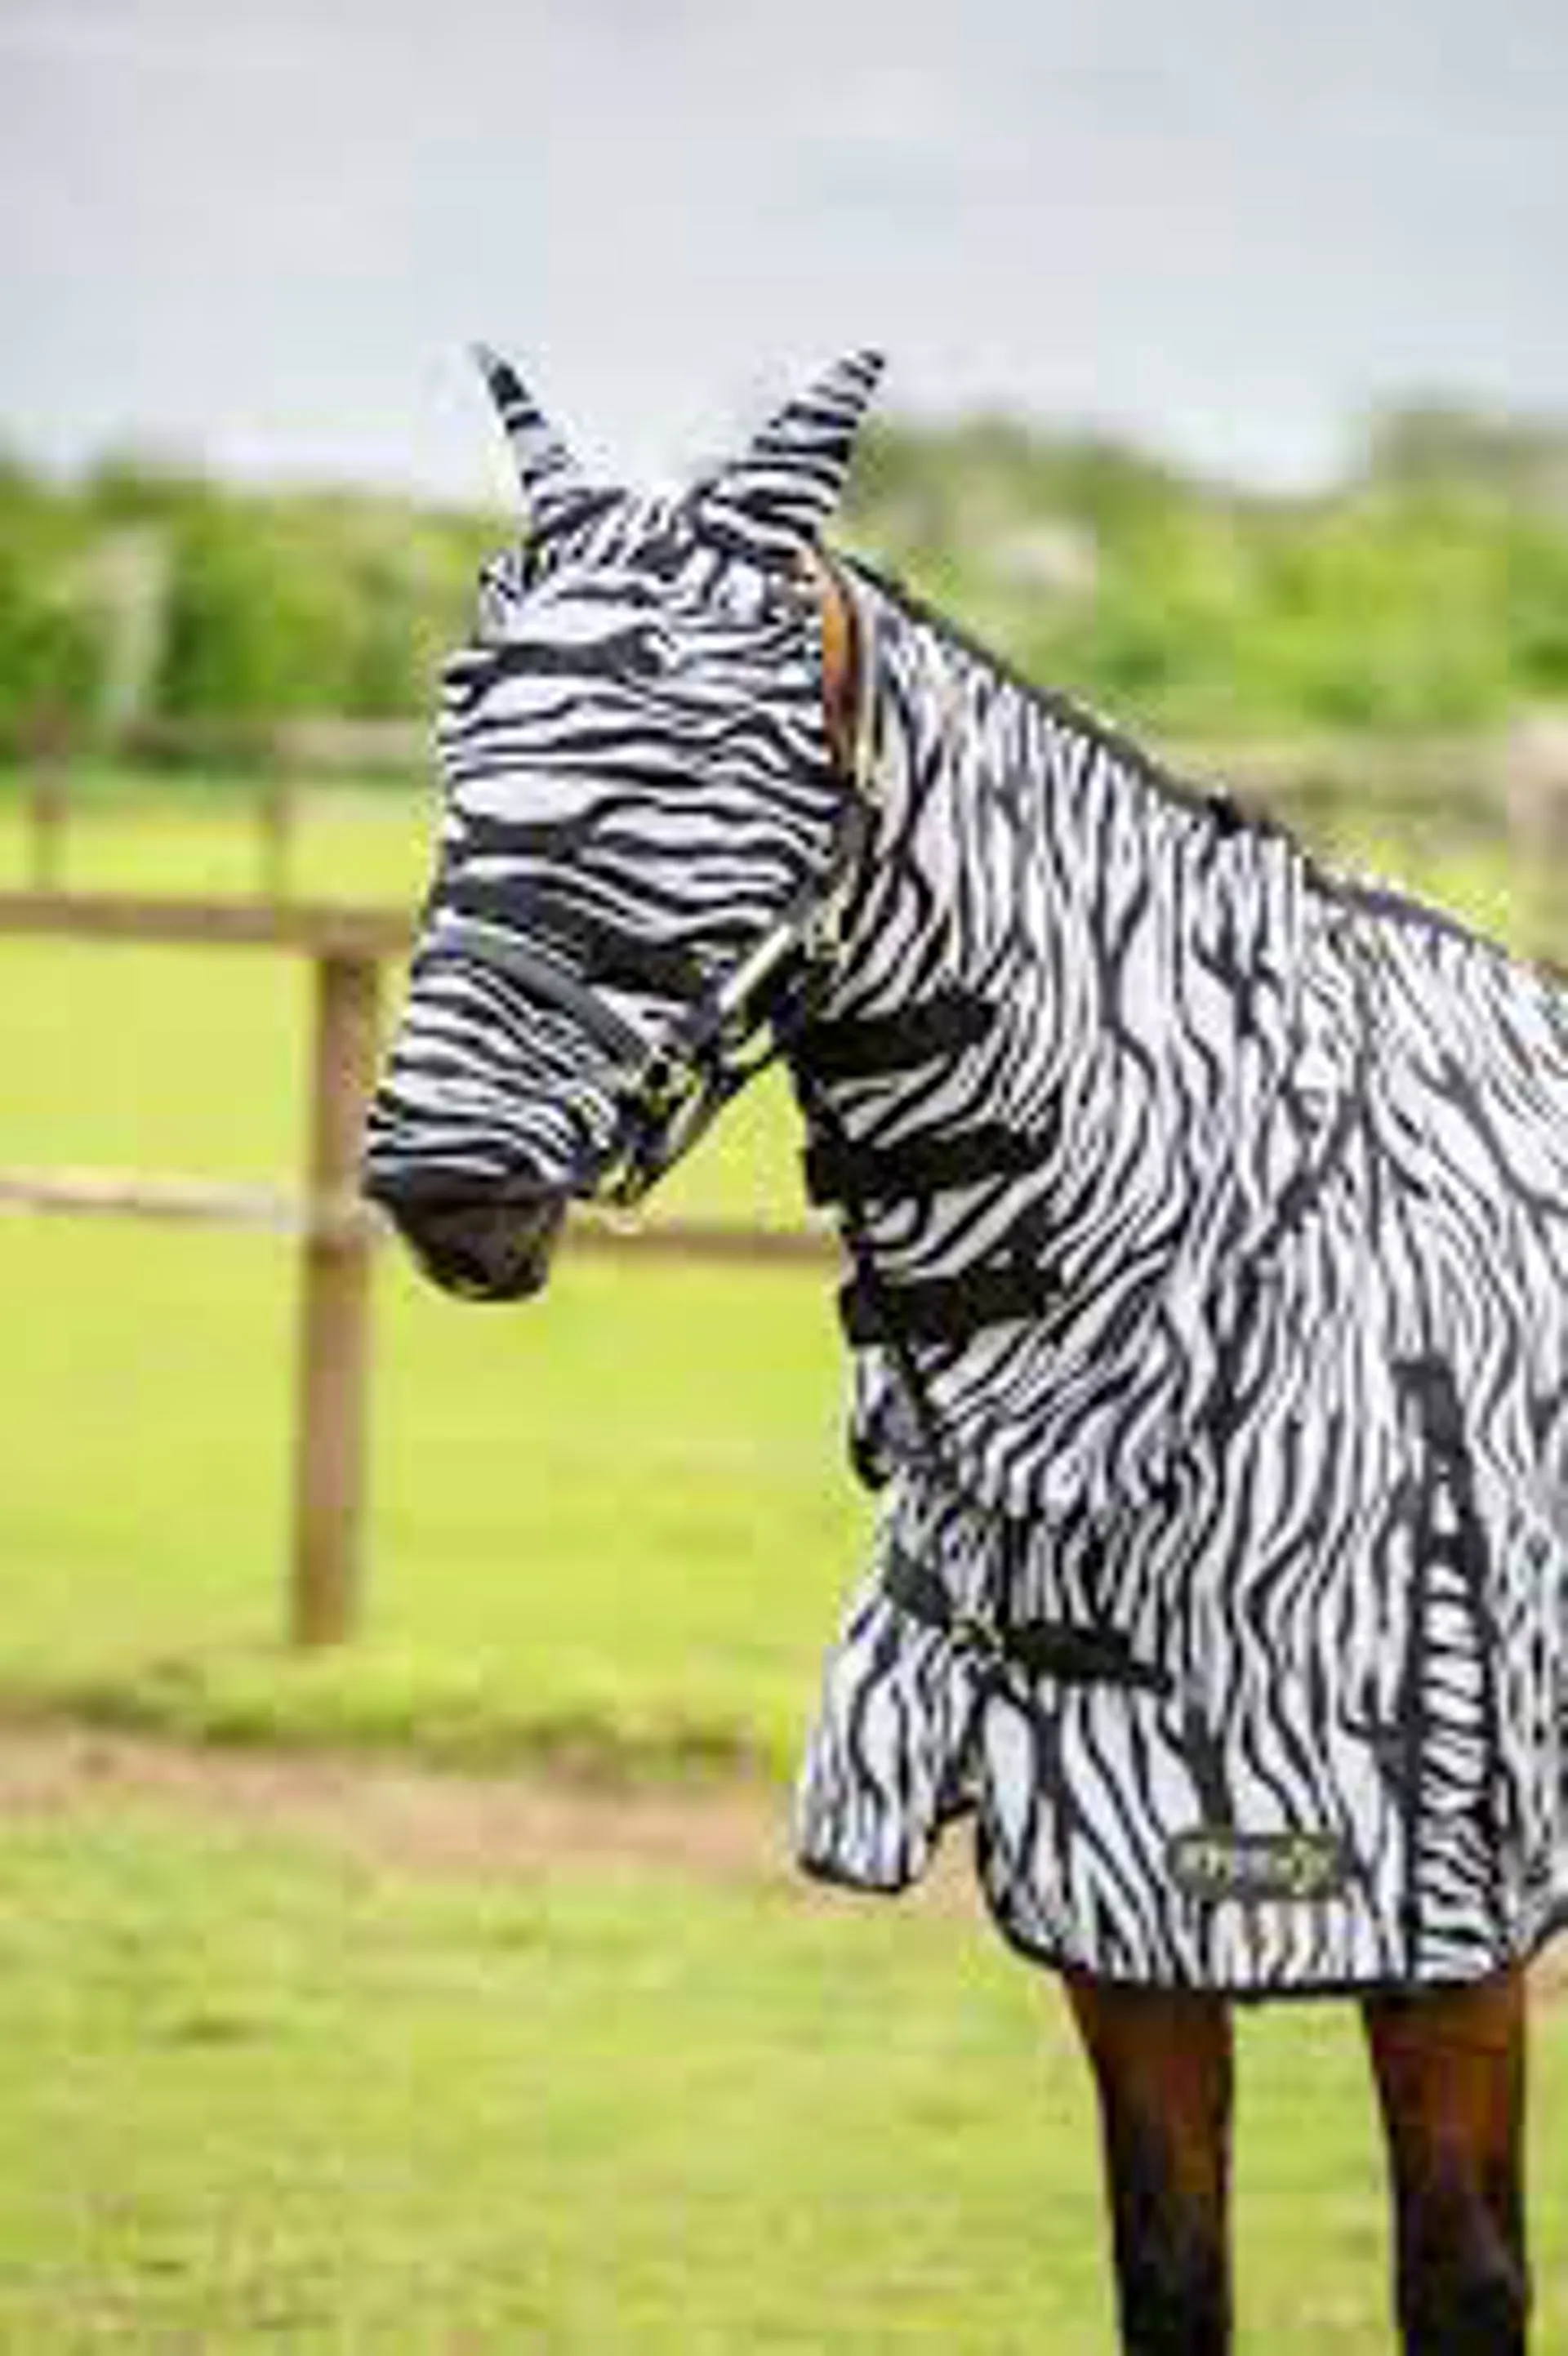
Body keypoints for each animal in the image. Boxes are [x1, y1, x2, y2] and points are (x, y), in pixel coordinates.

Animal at [364, 349, 1566, 2353]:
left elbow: (1463, 2280)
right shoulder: (1111, 1906)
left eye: (702, 757)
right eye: (464, 723)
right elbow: (1171, 2271)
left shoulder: (1443, 1918)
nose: (442, 1179)